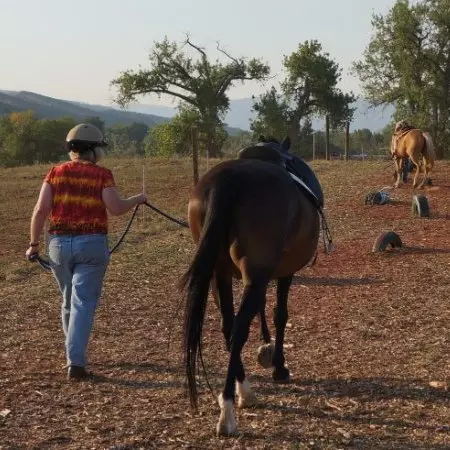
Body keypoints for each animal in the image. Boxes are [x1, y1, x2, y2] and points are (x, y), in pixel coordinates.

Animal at [178, 138, 320, 436]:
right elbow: (280, 316)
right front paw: (279, 367)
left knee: (229, 325)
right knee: (239, 329)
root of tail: (228, 179)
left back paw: (242, 390)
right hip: (254, 273)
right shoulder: (284, 273)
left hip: (219, 272)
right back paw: (228, 411)